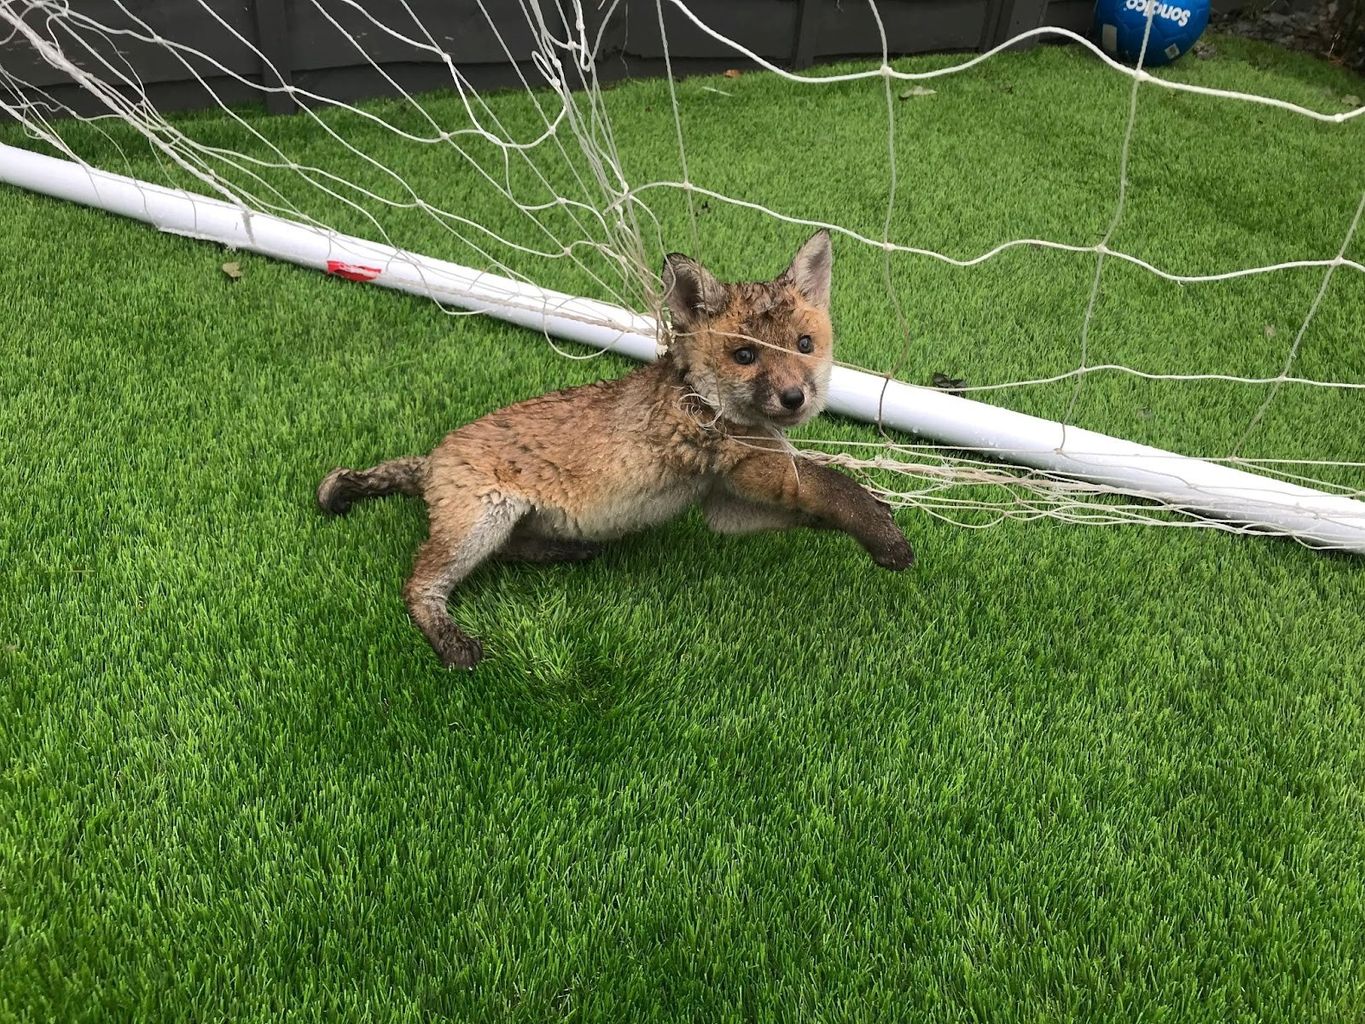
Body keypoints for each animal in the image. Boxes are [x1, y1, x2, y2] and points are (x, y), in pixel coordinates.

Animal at [316, 231, 915, 669]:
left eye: (805, 346)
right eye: (744, 355)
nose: (795, 399)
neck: (698, 399)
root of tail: (434, 457)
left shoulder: (725, 501)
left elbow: (818, 503)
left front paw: (876, 522)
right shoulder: (746, 465)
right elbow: (833, 484)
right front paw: (885, 535)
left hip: (503, 525)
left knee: (509, 552)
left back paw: (566, 551)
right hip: (481, 521)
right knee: (418, 583)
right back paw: (451, 639)